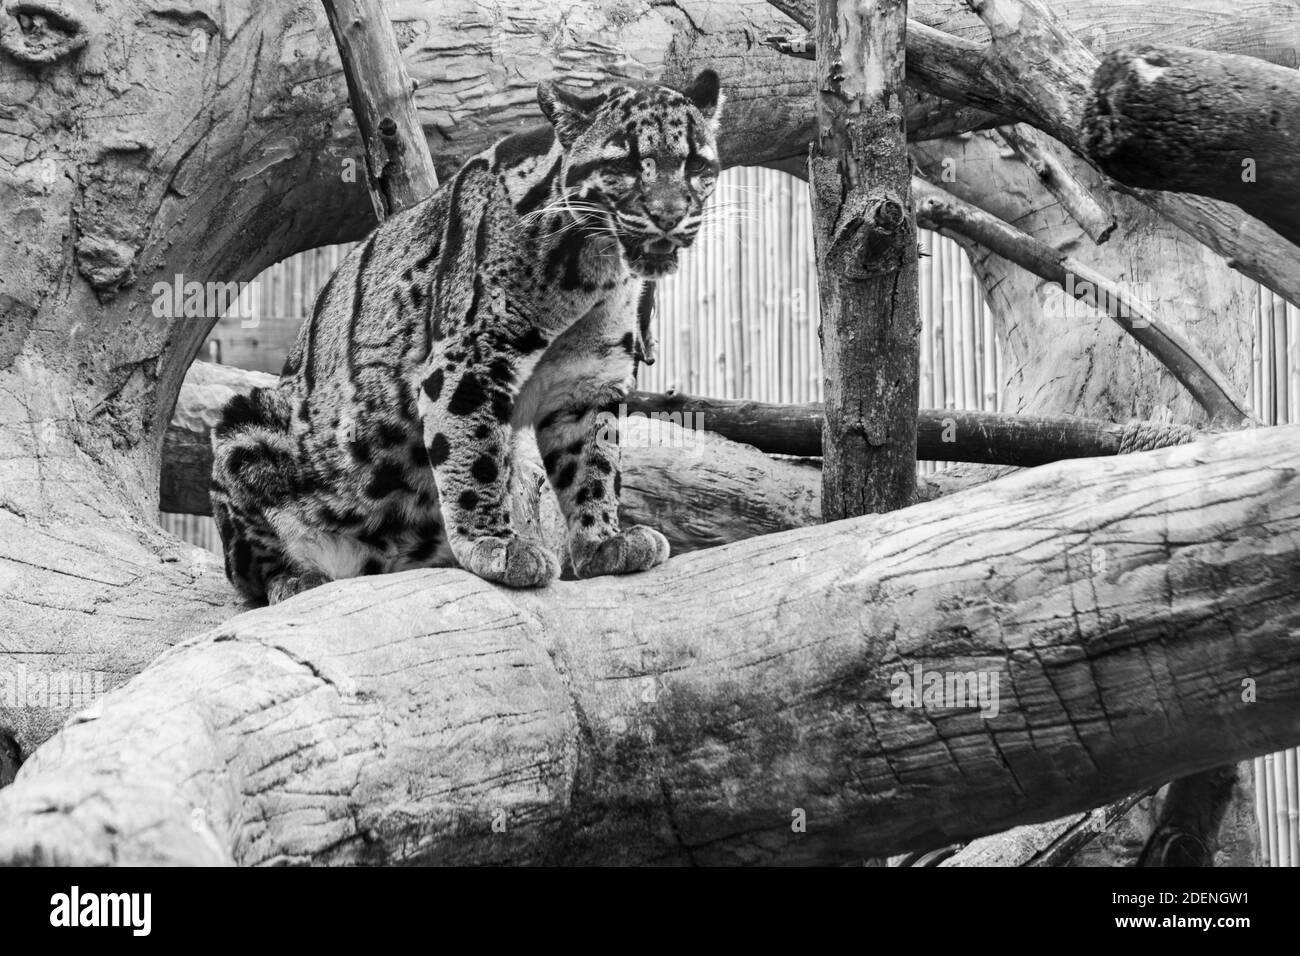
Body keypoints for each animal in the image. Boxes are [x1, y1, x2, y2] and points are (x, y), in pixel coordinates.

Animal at [209, 70, 728, 600]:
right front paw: (494, 545)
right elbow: (474, 452)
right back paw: (299, 576)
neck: (593, 273)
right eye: (625, 163)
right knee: (248, 573)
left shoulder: (589, 379)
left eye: (695, 164)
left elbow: (593, 464)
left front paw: (603, 542)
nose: (669, 214)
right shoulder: (470, 358)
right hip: (246, 425)